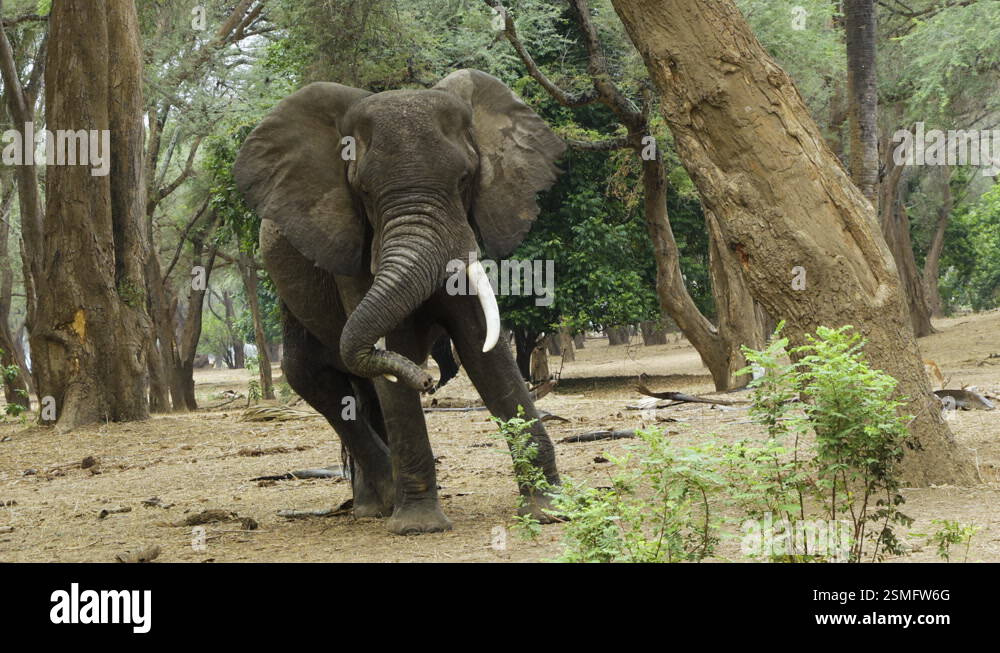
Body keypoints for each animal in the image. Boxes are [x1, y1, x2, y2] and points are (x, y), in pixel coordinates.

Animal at [233, 69, 565, 535]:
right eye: (364, 191)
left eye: (465, 179)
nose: (427, 381)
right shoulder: (352, 246)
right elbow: (397, 351)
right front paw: (419, 527)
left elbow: (483, 346)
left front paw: (552, 510)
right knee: (311, 375)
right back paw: (382, 503)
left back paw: (376, 504)